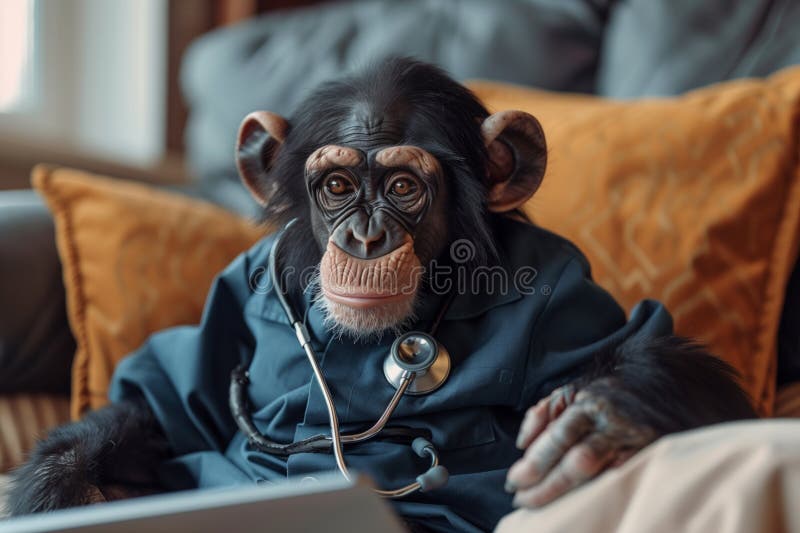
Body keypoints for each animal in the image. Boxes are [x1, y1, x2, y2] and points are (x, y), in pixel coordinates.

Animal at [7, 58, 756, 532]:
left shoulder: (557, 285)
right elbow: (167, 404)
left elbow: (650, 351)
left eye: (401, 187)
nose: (365, 236)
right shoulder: (237, 287)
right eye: (338, 187)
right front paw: (60, 489)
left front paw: (599, 418)